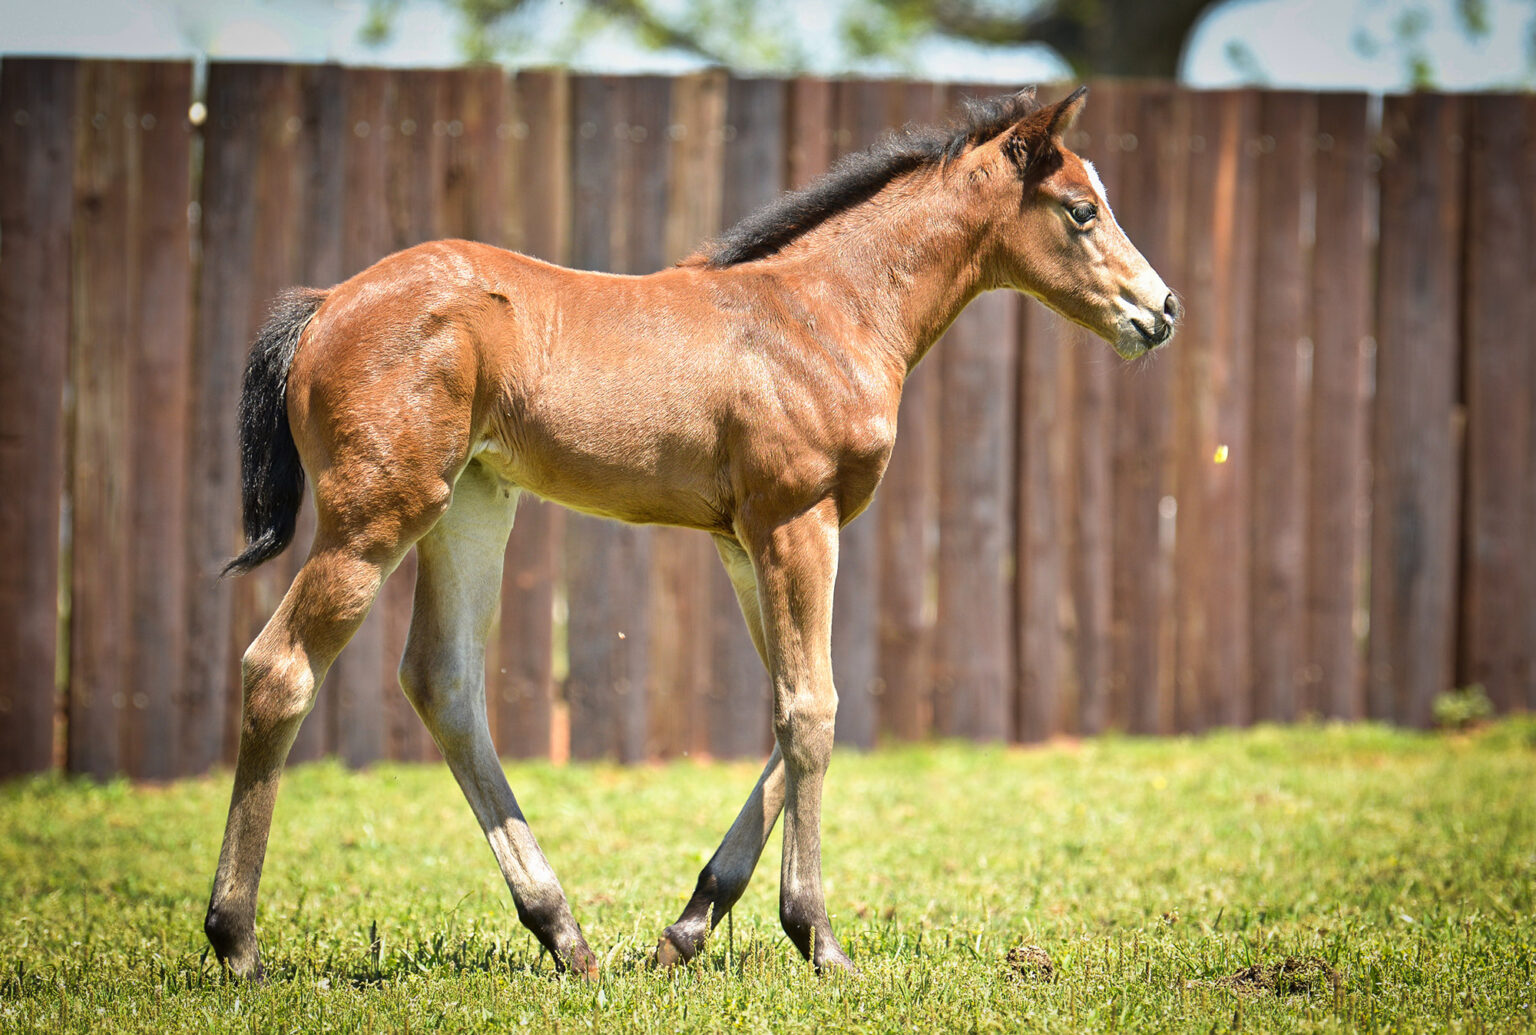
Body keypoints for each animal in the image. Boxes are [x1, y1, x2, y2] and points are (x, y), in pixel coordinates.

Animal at [203, 84, 1179, 981]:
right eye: (1082, 209)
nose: (1162, 309)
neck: (829, 309)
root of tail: (325, 302)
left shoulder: (742, 540)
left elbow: (794, 707)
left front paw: (690, 924)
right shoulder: (797, 519)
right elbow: (812, 709)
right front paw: (818, 938)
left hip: (472, 504)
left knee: (444, 682)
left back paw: (565, 935)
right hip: (376, 516)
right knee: (279, 669)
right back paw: (237, 942)